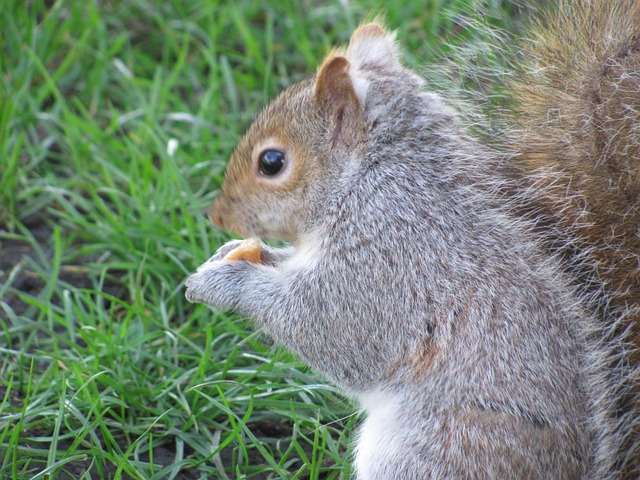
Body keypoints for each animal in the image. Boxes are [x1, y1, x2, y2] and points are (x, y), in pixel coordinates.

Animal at [185, 0, 640, 478]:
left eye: (271, 162)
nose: (217, 216)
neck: (366, 179)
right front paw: (228, 255)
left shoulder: (393, 255)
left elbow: (330, 325)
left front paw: (222, 284)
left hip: (431, 452)